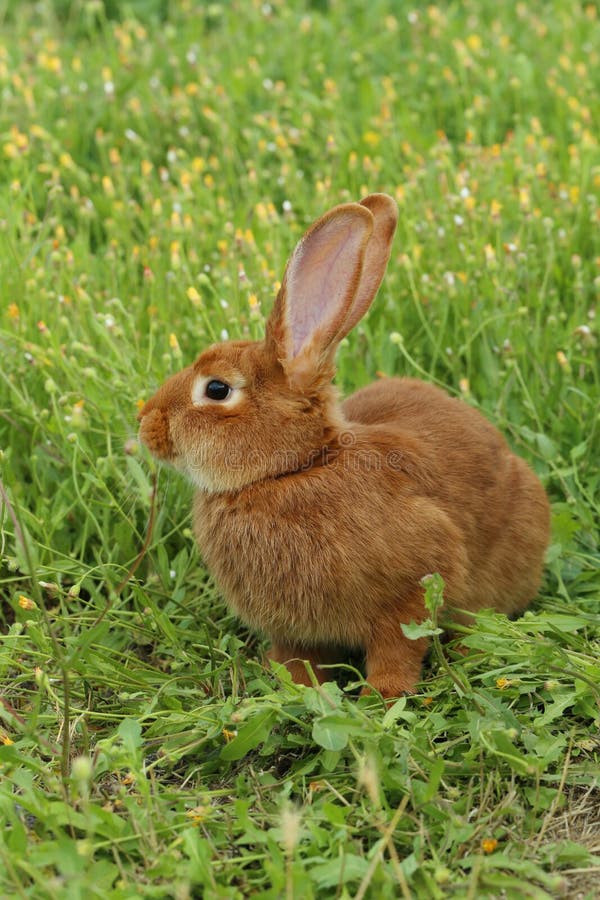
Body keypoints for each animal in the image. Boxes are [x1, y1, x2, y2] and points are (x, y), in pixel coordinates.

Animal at [138, 193, 551, 699]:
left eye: (217, 389)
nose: (145, 424)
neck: (297, 468)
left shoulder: (413, 591)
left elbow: (399, 646)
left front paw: (383, 695)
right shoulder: (295, 632)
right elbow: (299, 658)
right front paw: (294, 689)